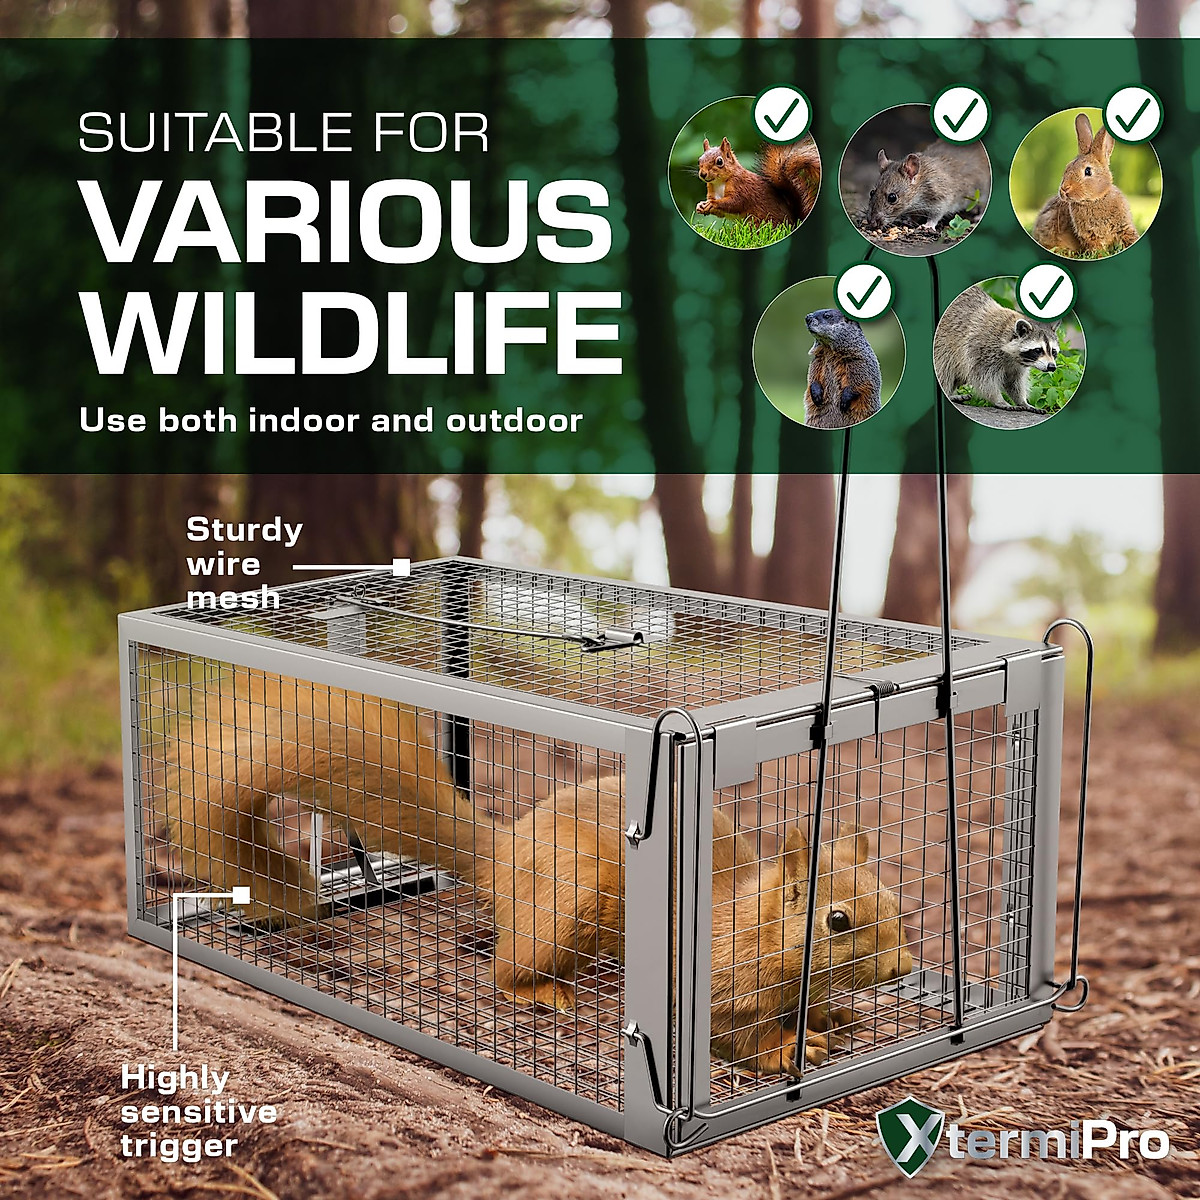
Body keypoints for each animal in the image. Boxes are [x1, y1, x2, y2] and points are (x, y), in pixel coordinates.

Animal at [167, 671, 913, 1077]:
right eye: (837, 920)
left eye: (894, 900)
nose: (905, 966)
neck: (750, 923)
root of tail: (505, 853)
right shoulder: (711, 990)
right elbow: (736, 1038)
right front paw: (792, 1049)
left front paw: (837, 1014)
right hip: (565, 904)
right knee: (506, 968)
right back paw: (542, 994)